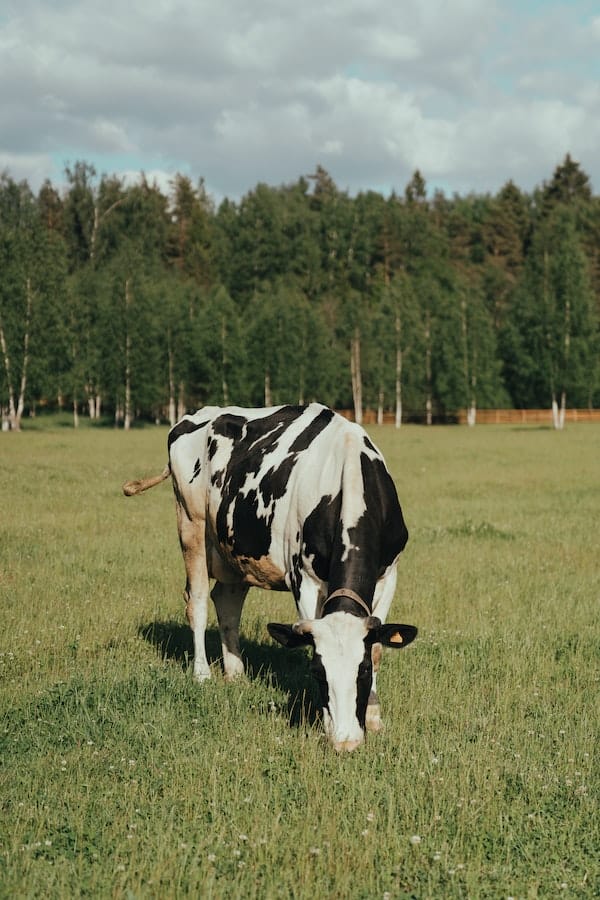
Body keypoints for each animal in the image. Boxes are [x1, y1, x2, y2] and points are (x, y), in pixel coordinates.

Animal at [123, 403, 417, 751]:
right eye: (317, 671)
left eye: (364, 672)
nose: (345, 742)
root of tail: (198, 414)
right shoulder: (304, 578)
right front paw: (326, 725)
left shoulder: (389, 574)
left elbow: (379, 647)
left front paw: (373, 718)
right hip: (191, 523)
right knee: (198, 603)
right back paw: (202, 675)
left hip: (234, 549)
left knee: (226, 602)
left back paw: (235, 672)